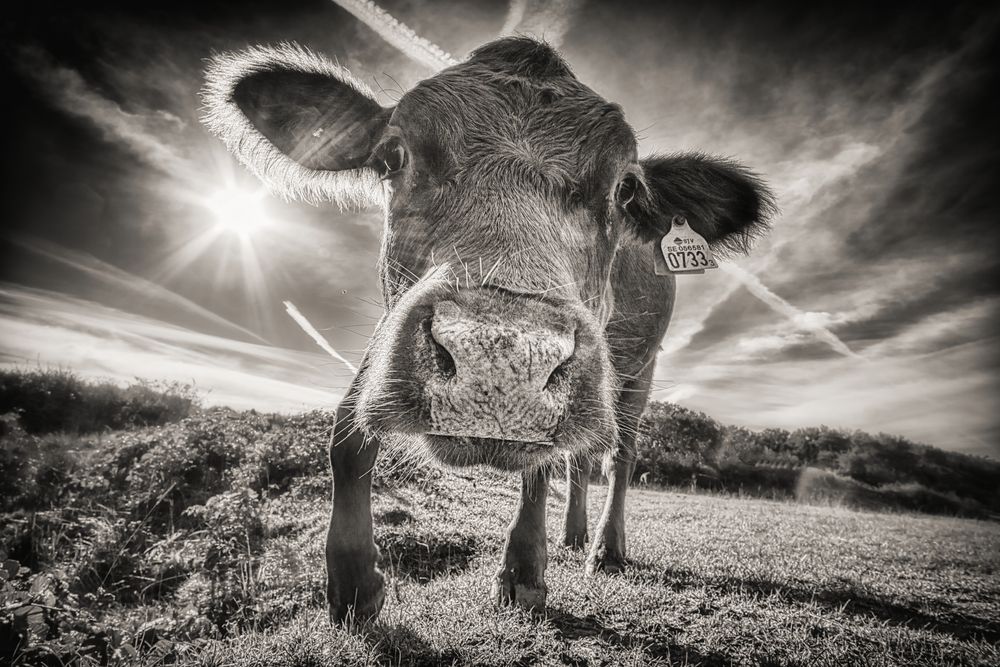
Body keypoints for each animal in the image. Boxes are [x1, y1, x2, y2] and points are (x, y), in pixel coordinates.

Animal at [202, 36, 775, 623]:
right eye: (393, 156)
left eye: (626, 191)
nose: (499, 359)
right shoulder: (393, 321)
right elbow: (346, 430)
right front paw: (354, 581)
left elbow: (539, 467)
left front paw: (523, 572)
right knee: (581, 459)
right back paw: (573, 535)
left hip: (641, 370)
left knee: (619, 454)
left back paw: (605, 549)